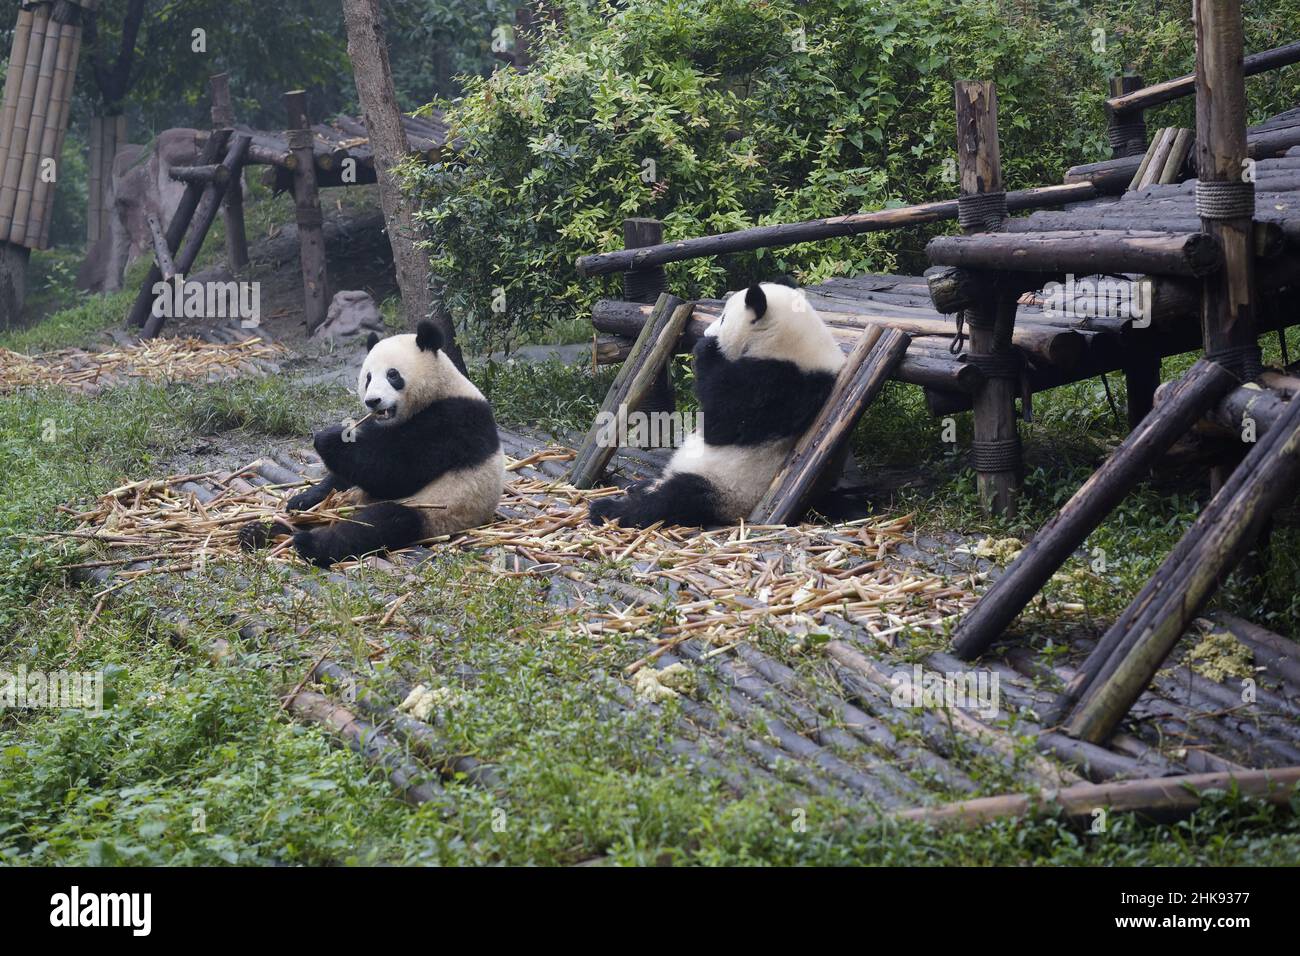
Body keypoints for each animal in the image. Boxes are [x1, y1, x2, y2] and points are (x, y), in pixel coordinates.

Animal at [241, 321, 504, 566]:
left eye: (393, 374)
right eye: (367, 378)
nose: (373, 401)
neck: (440, 389)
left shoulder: (453, 422)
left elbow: (394, 472)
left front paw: (329, 437)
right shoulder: (377, 427)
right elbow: (349, 472)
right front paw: (301, 499)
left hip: (435, 509)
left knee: (380, 523)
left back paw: (310, 543)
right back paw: (258, 531)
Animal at [589, 281, 845, 528]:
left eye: (723, 318)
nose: (705, 331)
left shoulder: (778, 384)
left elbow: (721, 423)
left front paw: (707, 347)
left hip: (728, 488)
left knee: (675, 499)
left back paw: (608, 510)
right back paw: (639, 486)